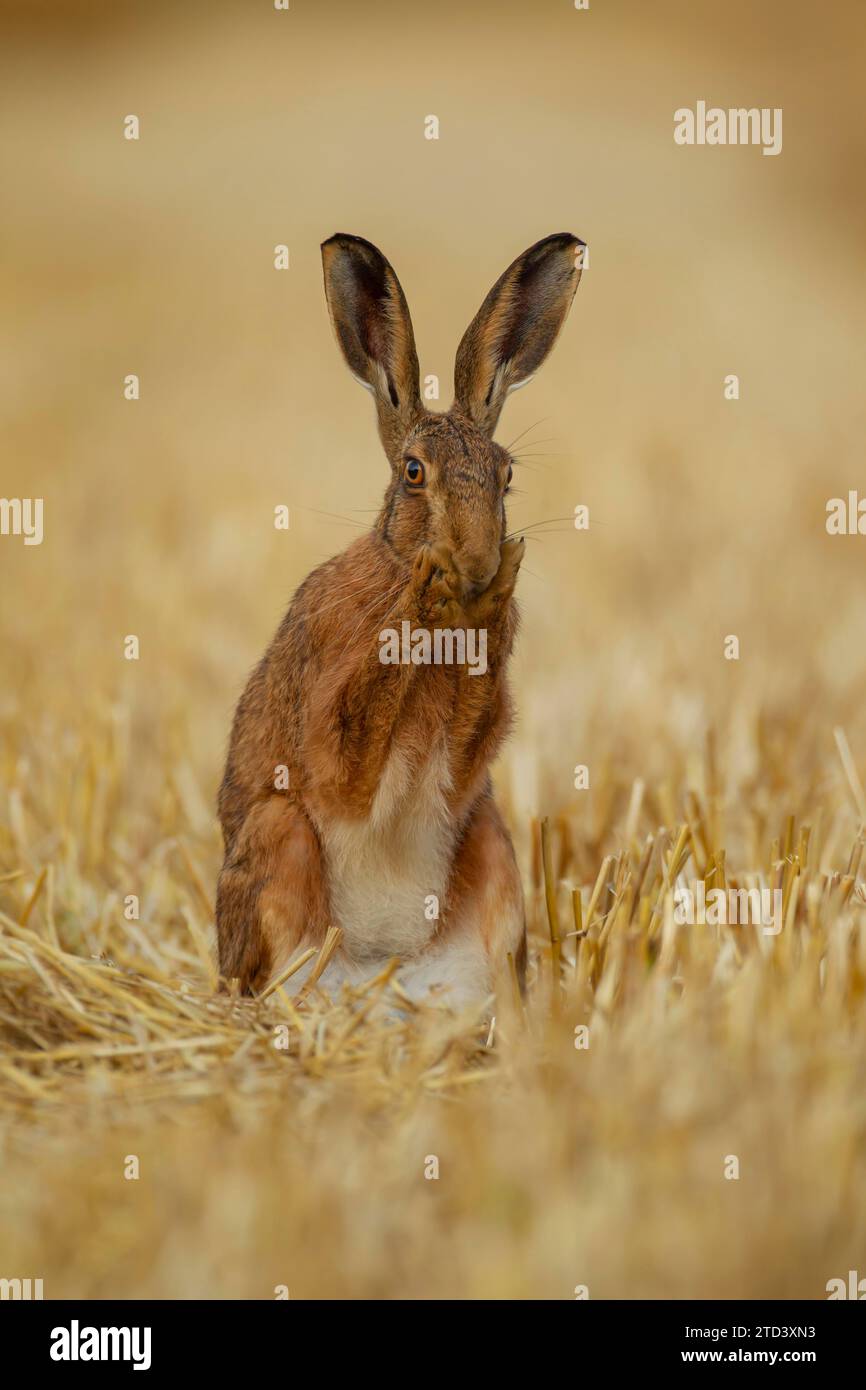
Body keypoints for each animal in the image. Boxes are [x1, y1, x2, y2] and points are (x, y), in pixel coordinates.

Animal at [216, 231, 584, 1004]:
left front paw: (488, 595)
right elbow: (353, 750)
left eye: (506, 475)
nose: (476, 562)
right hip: (278, 835)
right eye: (414, 473)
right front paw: (423, 598)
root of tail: (383, 979)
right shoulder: (332, 732)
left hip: (494, 846)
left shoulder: (472, 748)